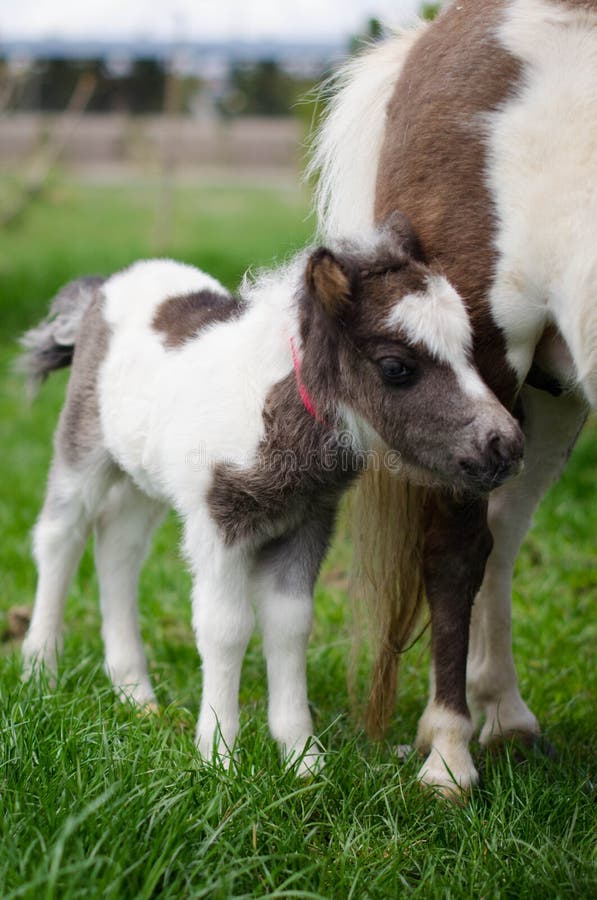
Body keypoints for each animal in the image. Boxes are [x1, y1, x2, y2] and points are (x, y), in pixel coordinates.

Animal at [19, 223, 523, 775]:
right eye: (396, 367)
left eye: (468, 348)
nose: (505, 446)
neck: (276, 419)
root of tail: (105, 286)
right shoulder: (219, 522)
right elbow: (226, 627)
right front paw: (219, 757)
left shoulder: (307, 522)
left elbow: (289, 624)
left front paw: (303, 757)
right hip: (84, 446)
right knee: (60, 536)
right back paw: (39, 671)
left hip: (142, 479)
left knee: (119, 546)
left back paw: (135, 692)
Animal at [309, 0, 595, 795]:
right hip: (486, 372)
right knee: (459, 553)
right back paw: (448, 752)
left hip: (539, 405)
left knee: (500, 538)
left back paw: (504, 717)